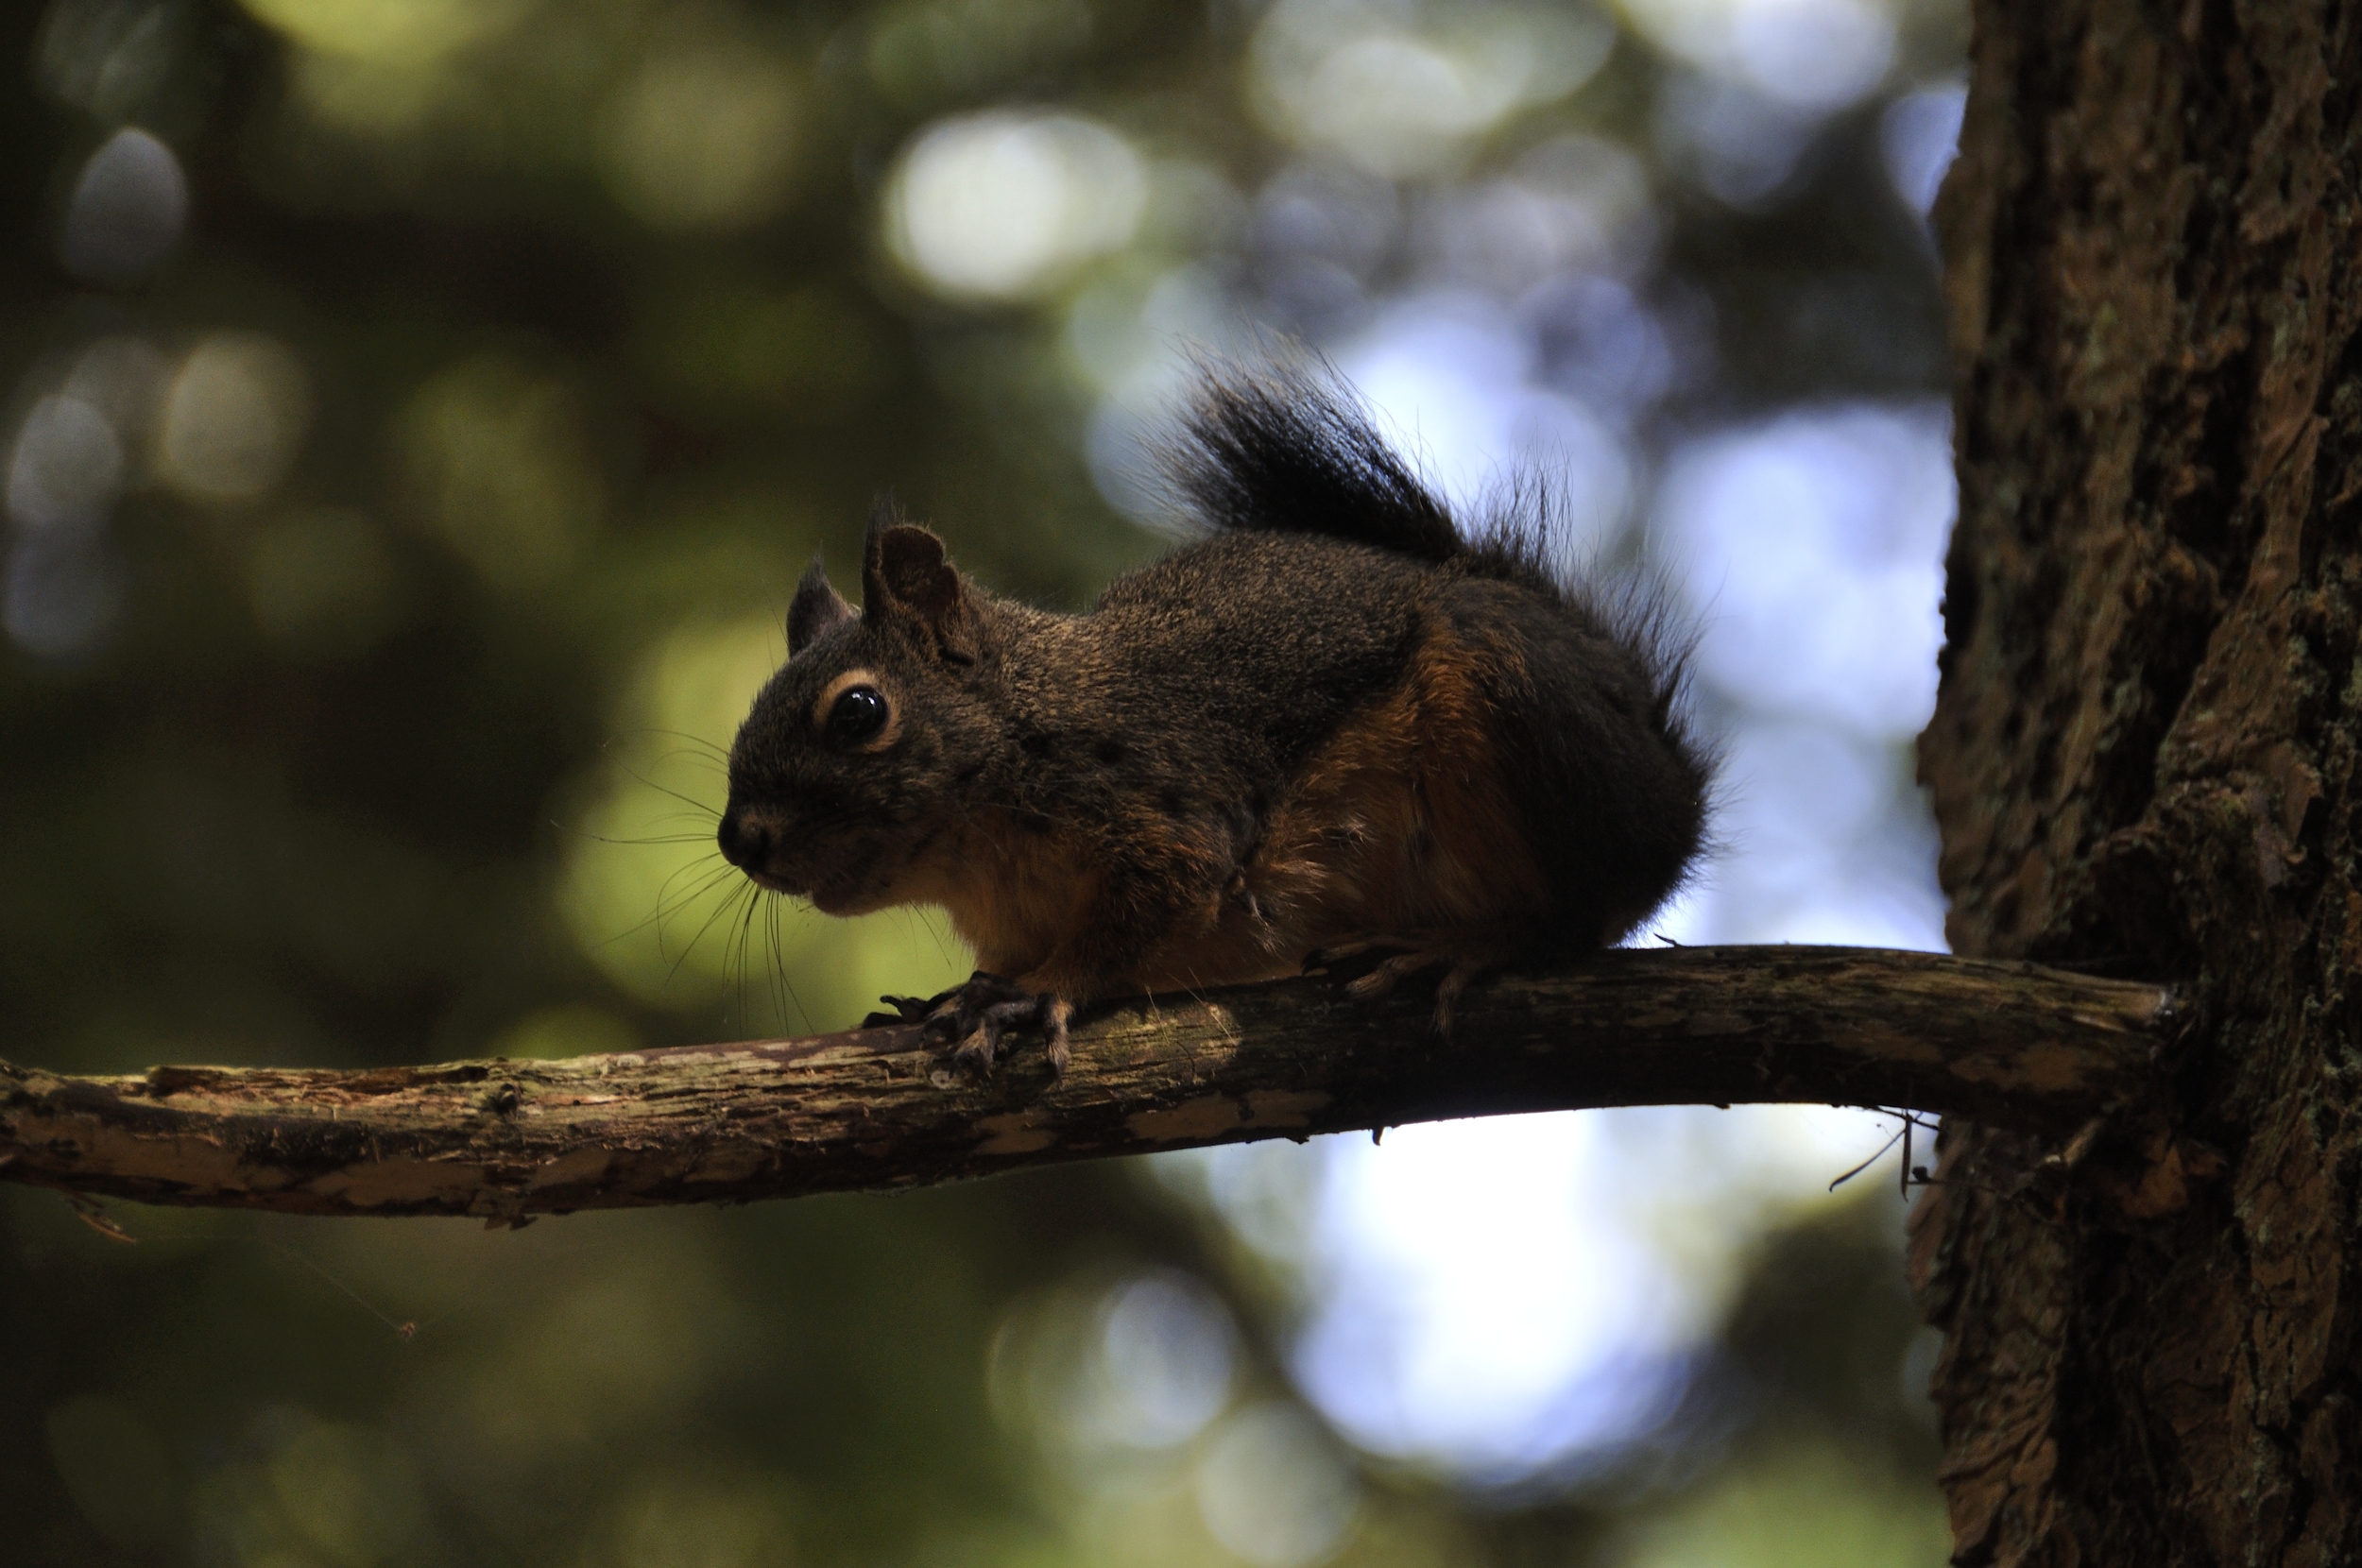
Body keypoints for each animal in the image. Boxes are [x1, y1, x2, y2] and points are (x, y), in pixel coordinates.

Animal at [716, 362, 1711, 1073]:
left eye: (859, 712)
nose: (738, 840)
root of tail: (1674, 788)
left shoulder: (1162, 808)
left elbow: (1141, 914)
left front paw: (1035, 994)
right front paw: (958, 995)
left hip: (1516, 707)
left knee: (1586, 909)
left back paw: (1468, 943)